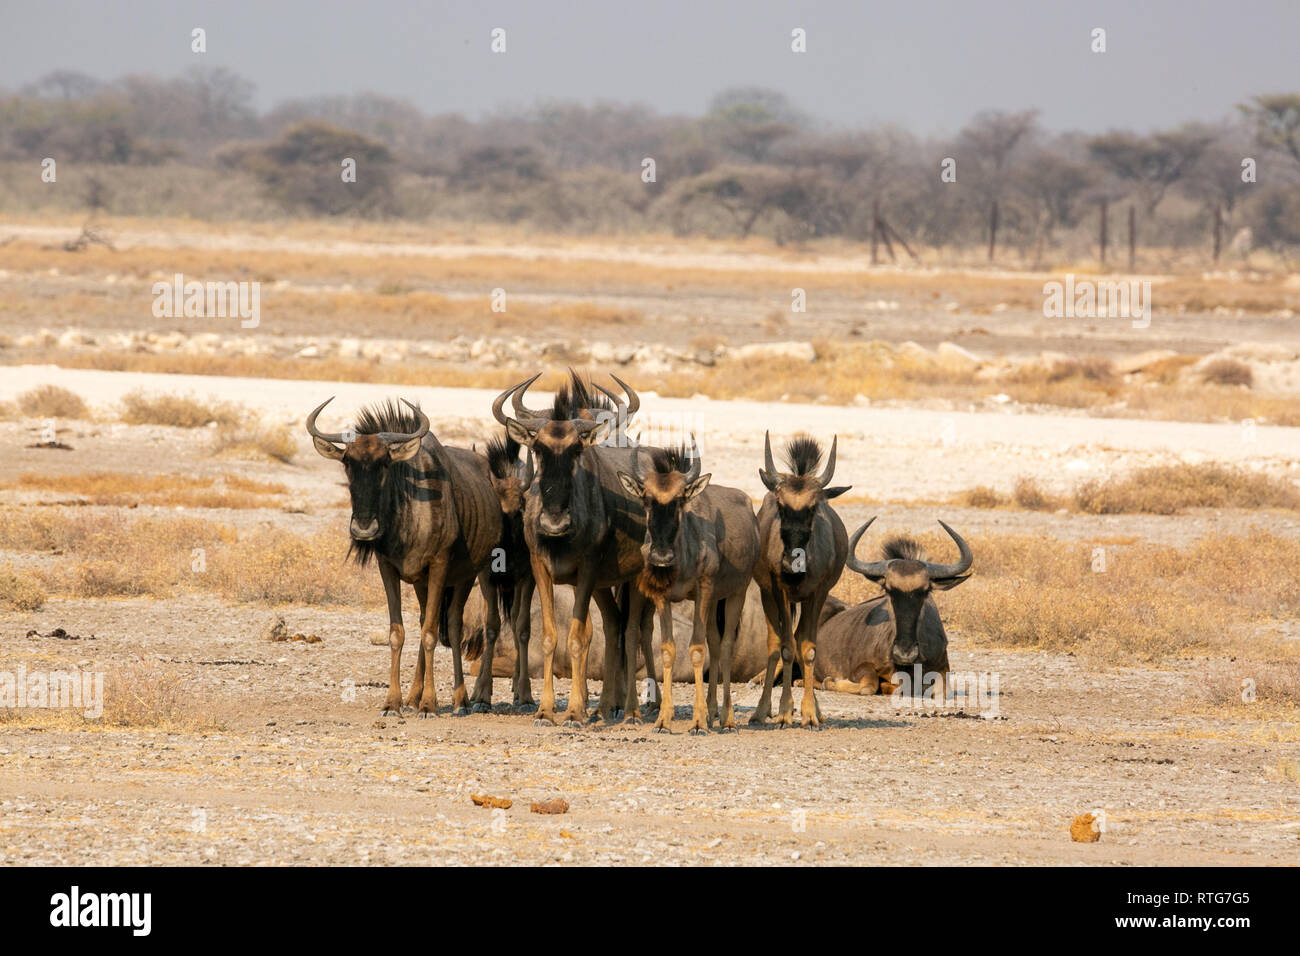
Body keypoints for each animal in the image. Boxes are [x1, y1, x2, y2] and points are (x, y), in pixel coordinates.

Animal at [307, 398, 502, 716]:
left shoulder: (439, 566)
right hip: (425, 583)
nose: (364, 528)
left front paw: (430, 704)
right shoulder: (388, 568)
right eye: (347, 462)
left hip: (472, 574)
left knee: (454, 624)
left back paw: (461, 699)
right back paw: (413, 697)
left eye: (385, 462)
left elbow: (432, 633)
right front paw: (393, 702)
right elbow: (398, 632)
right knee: (425, 619)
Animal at [617, 439, 759, 732]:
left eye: (680, 499)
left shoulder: (704, 591)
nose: (661, 556)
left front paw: (698, 722)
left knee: (725, 645)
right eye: (646, 499)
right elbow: (668, 648)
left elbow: (696, 649)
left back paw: (726, 718)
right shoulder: (662, 597)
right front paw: (663, 720)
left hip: (735, 593)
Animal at [751, 432, 850, 728]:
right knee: (775, 645)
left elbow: (807, 648)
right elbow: (785, 647)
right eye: (781, 506)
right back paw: (762, 710)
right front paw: (785, 711)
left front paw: (810, 713)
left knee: (797, 639)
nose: (791, 565)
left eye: (814, 507)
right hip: (767, 596)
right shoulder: (780, 592)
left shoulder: (817, 593)